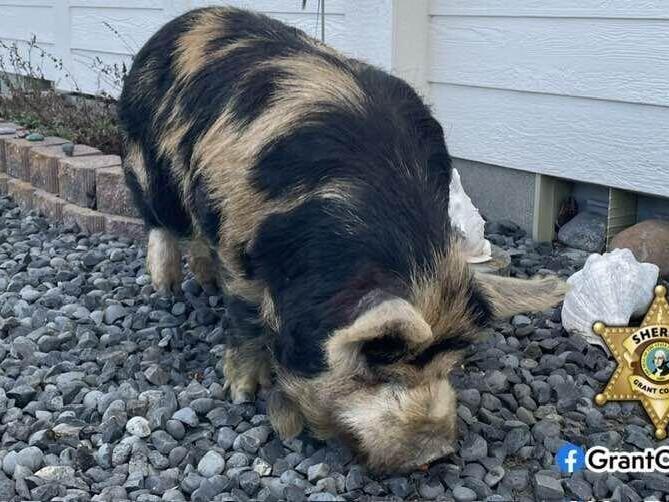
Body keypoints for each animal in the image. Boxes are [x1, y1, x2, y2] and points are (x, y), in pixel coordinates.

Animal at [117, 6, 566, 472]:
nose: (436, 452)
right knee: (159, 220)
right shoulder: (237, 243)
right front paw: (243, 392)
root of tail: (186, 20)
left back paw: (203, 282)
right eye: (376, 366)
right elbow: (245, 316)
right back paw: (166, 286)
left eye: (450, 365)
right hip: (146, 160)